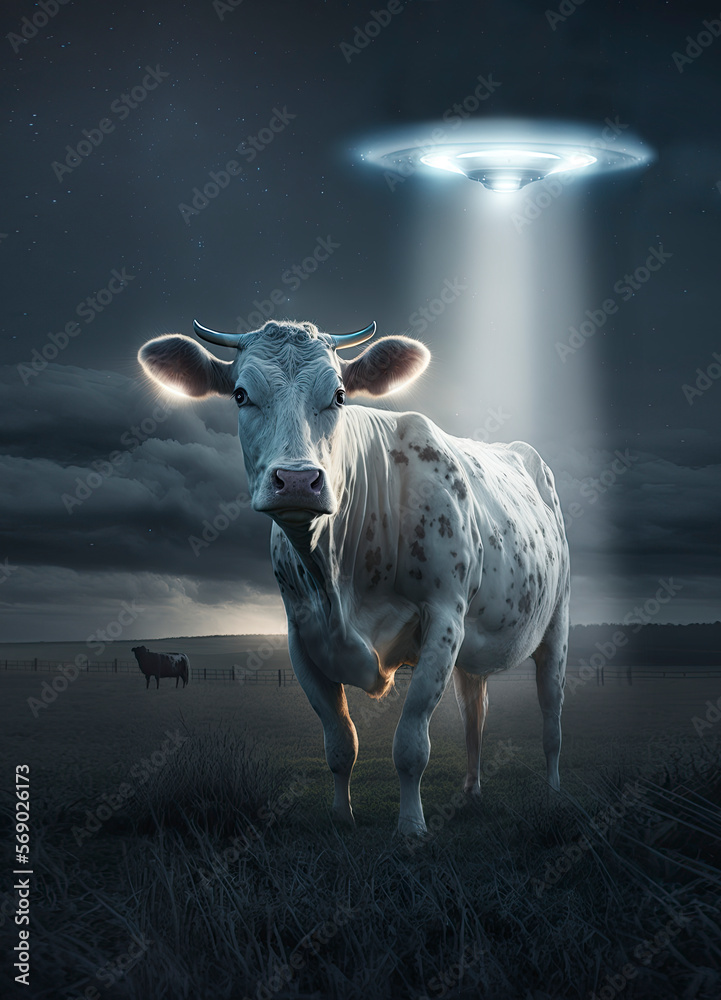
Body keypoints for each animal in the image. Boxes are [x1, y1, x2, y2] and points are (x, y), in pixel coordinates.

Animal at [137, 318, 570, 837]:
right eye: (241, 395)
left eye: (340, 395)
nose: (297, 480)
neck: (338, 580)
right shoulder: (301, 634)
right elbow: (340, 741)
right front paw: (341, 815)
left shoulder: (444, 617)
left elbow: (411, 744)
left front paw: (411, 827)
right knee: (474, 713)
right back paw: (471, 791)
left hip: (556, 622)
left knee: (550, 715)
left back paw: (553, 793)